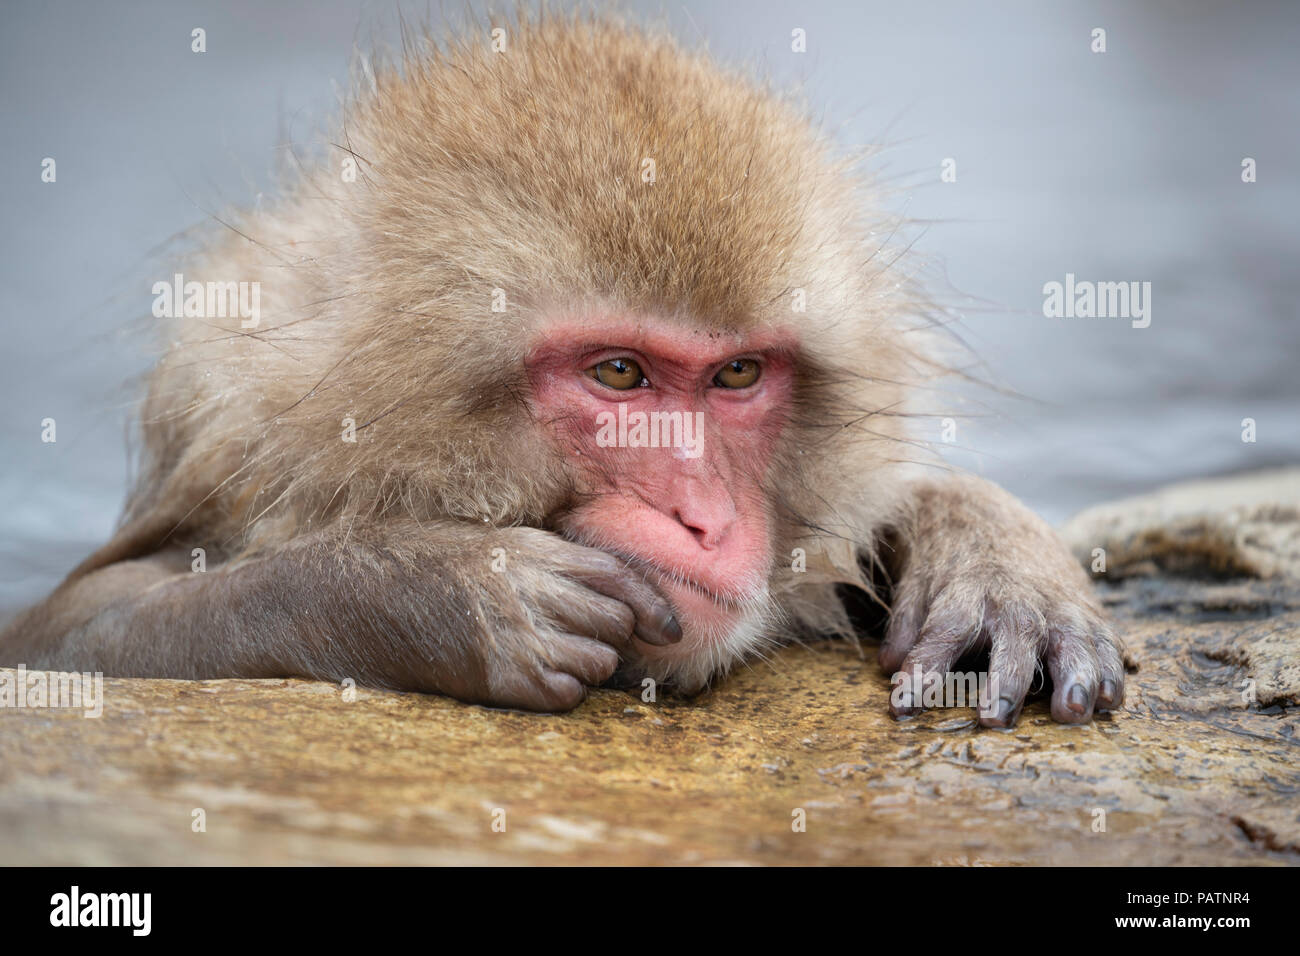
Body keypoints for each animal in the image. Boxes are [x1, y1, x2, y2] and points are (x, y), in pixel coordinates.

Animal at [1, 10, 1125, 728]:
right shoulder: (233, 440)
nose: (703, 519)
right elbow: (67, 636)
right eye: (620, 375)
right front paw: (445, 589)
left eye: (736, 376)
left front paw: (988, 554)